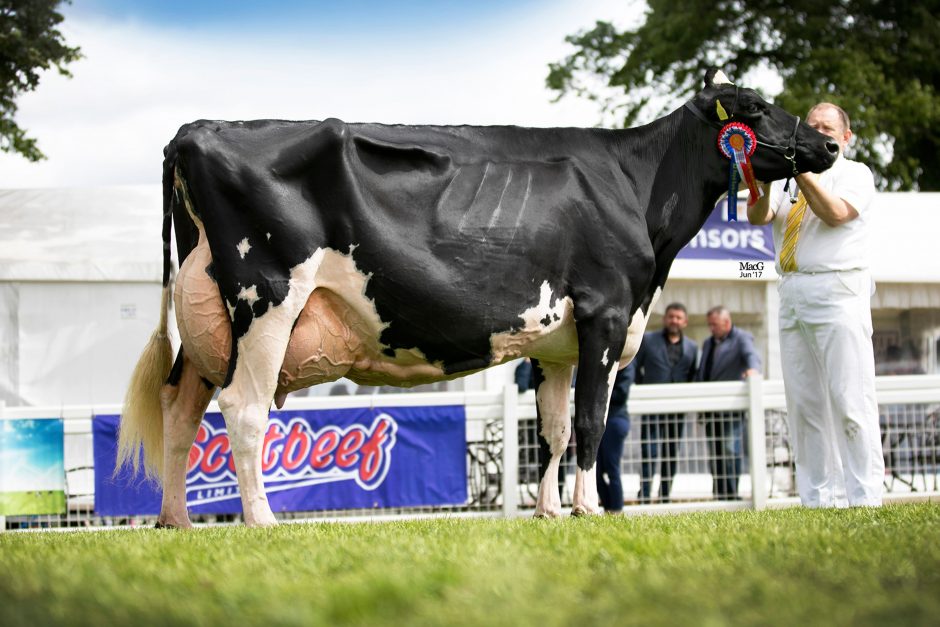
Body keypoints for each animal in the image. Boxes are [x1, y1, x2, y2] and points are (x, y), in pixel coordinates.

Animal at [117, 69, 838, 527]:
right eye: (756, 109)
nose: (829, 142)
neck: (635, 188)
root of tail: (196, 130)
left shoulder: (558, 342)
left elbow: (550, 428)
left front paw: (548, 511)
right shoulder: (606, 313)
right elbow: (591, 423)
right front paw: (586, 509)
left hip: (208, 316)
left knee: (181, 409)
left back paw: (174, 521)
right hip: (265, 296)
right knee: (242, 409)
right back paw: (262, 520)